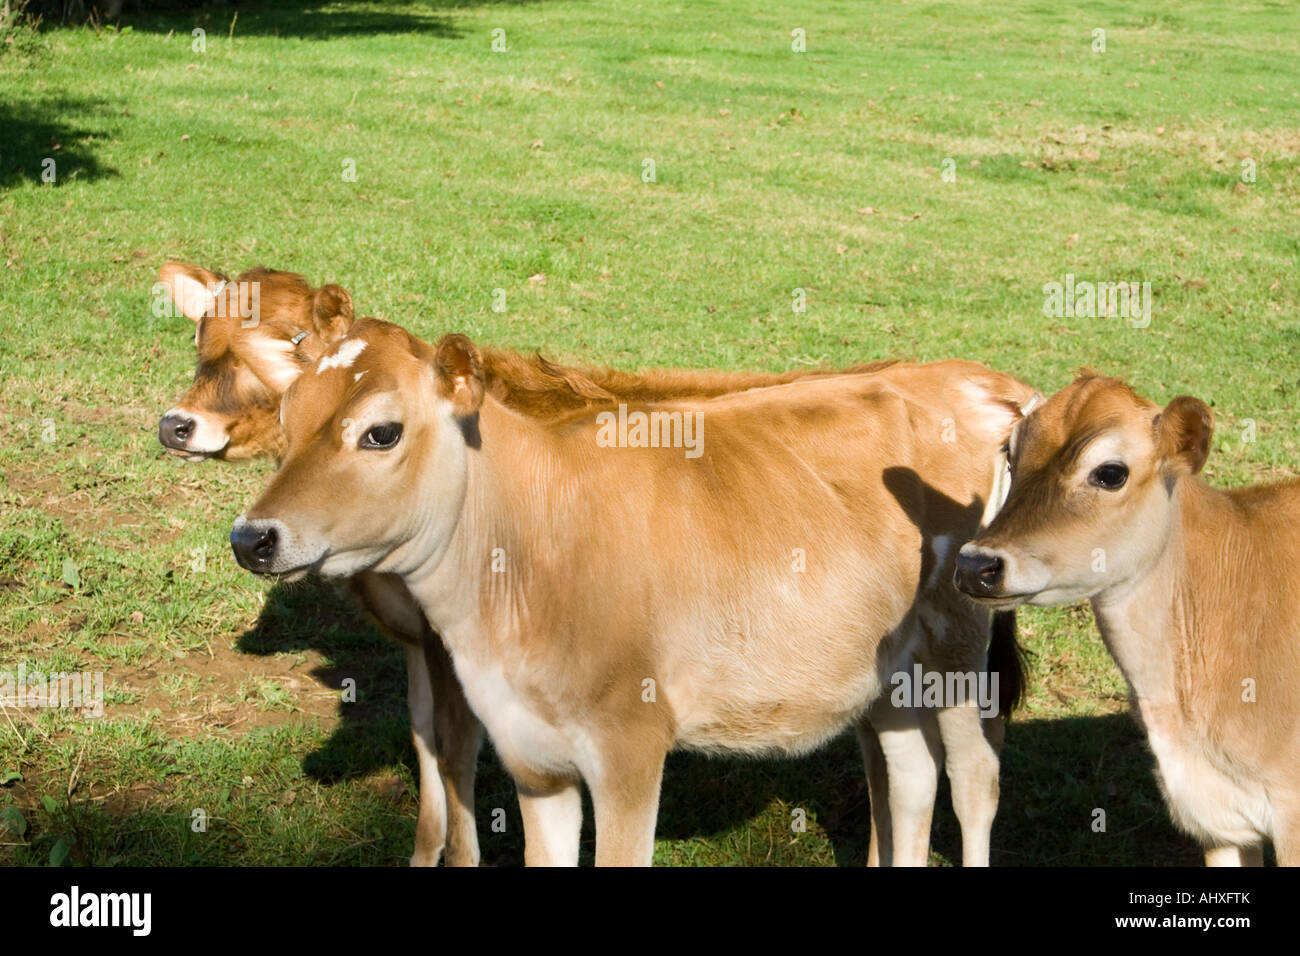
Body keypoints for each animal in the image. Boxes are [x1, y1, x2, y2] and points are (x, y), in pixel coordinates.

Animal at [228, 318, 1037, 865]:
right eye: (286, 419)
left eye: (381, 432)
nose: (251, 537)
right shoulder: (529, 755)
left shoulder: (630, 745)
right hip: (888, 676)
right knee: (908, 779)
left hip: (959, 648)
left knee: (974, 782)